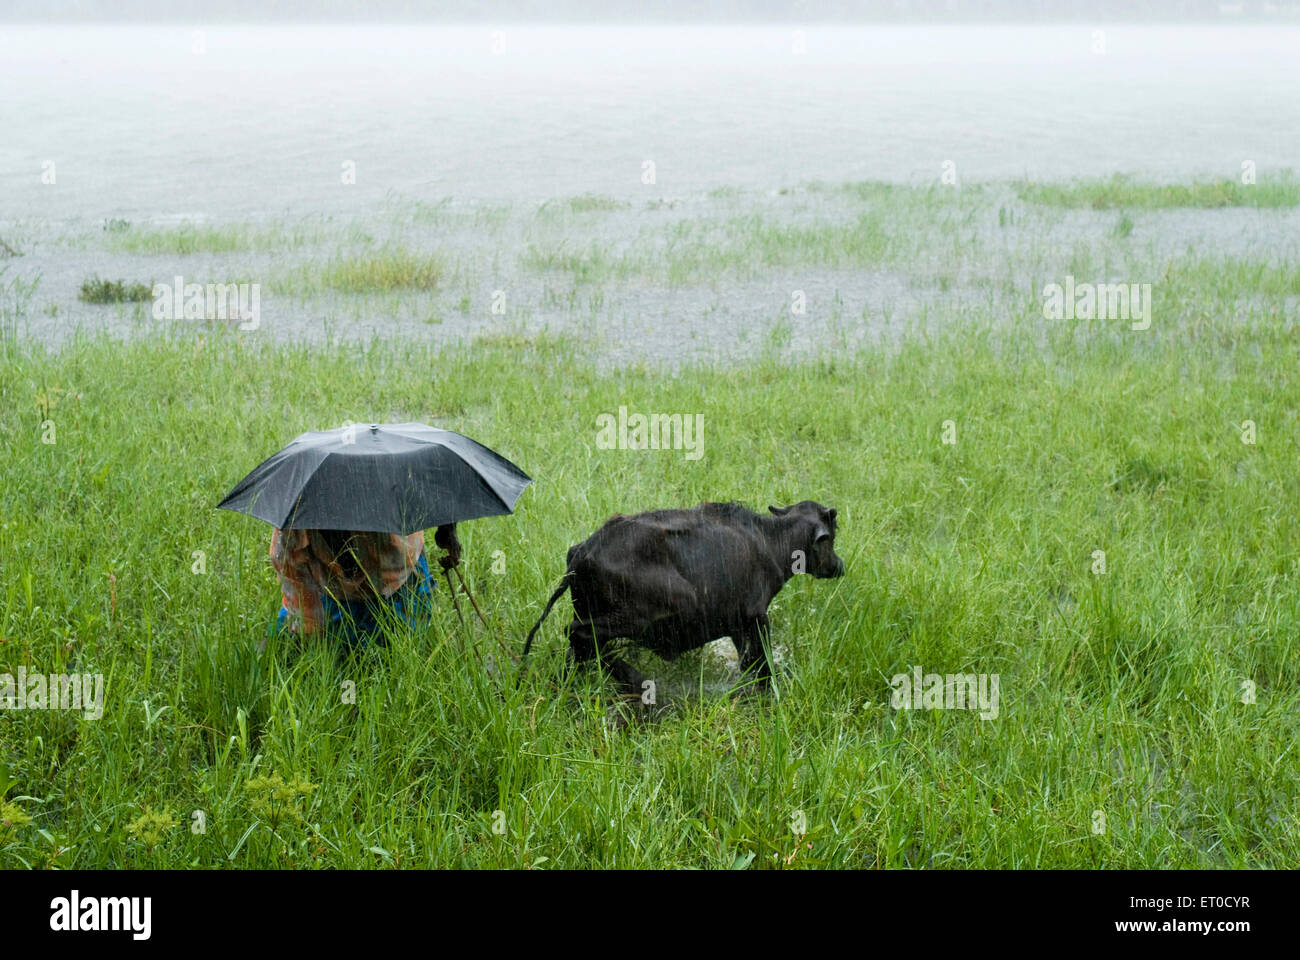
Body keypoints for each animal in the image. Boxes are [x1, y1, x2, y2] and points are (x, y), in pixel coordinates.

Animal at [522, 500, 845, 692]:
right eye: (830, 537)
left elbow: (747, 663)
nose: (839, 565)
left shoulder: (737, 623)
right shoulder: (756, 615)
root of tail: (584, 550)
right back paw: (637, 681)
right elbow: (762, 663)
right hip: (640, 616)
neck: (770, 540)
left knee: (582, 646)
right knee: (580, 634)